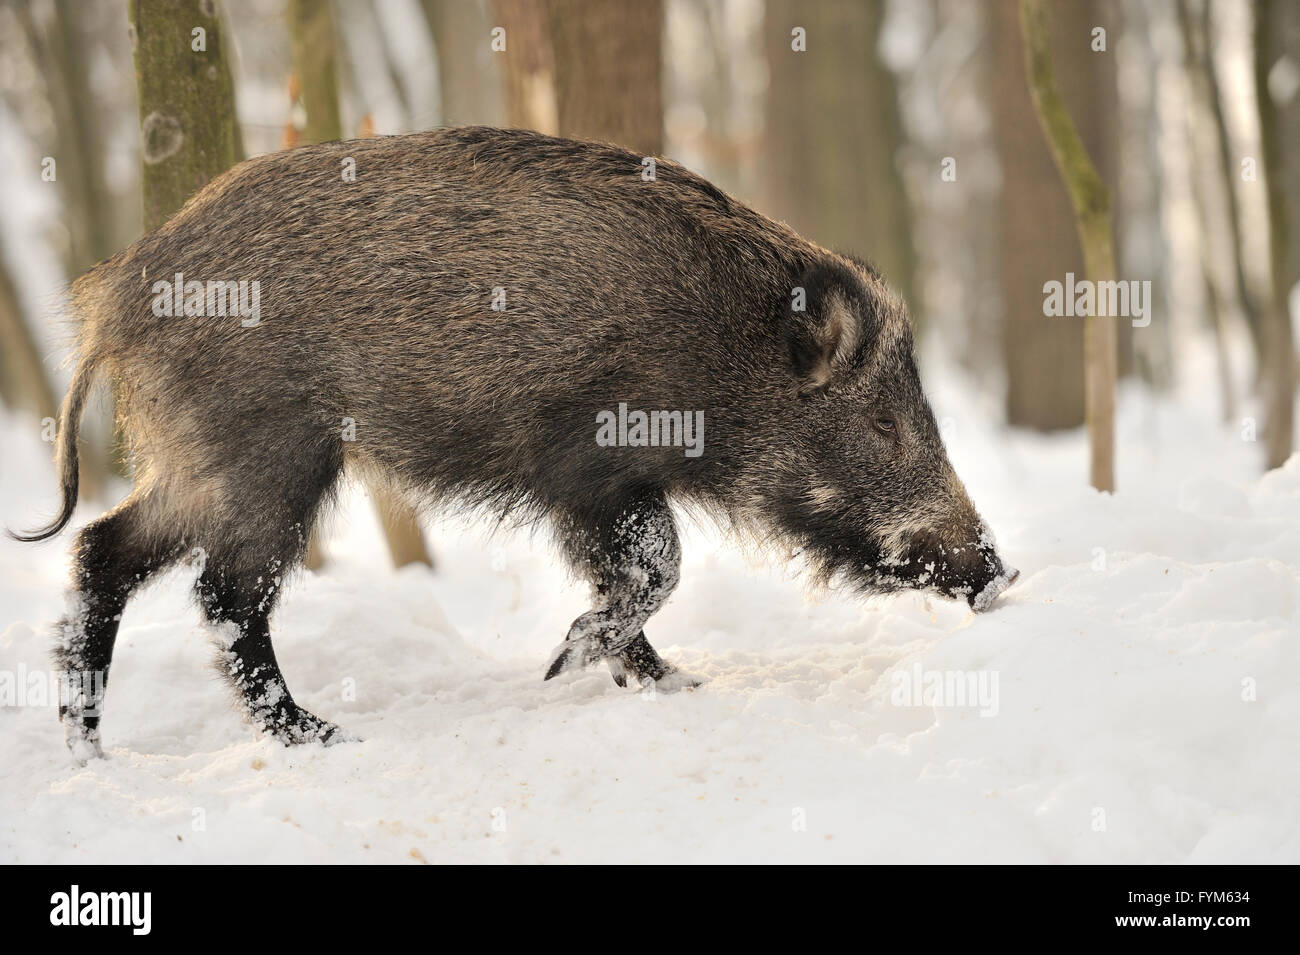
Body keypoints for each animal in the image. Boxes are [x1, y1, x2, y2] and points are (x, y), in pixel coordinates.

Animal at [12, 126, 1017, 758]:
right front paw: (568, 665)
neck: (720, 346)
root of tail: (116, 291)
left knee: (104, 549)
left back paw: (87, 747)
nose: (999, 572)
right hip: (270, 455)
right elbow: (655, 567)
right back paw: (321, 738)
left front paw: (668, 684)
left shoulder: (602, 489)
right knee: (223, 595)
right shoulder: (590, 464)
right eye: (884, 422)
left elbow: (628, 578)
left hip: (206, 462)